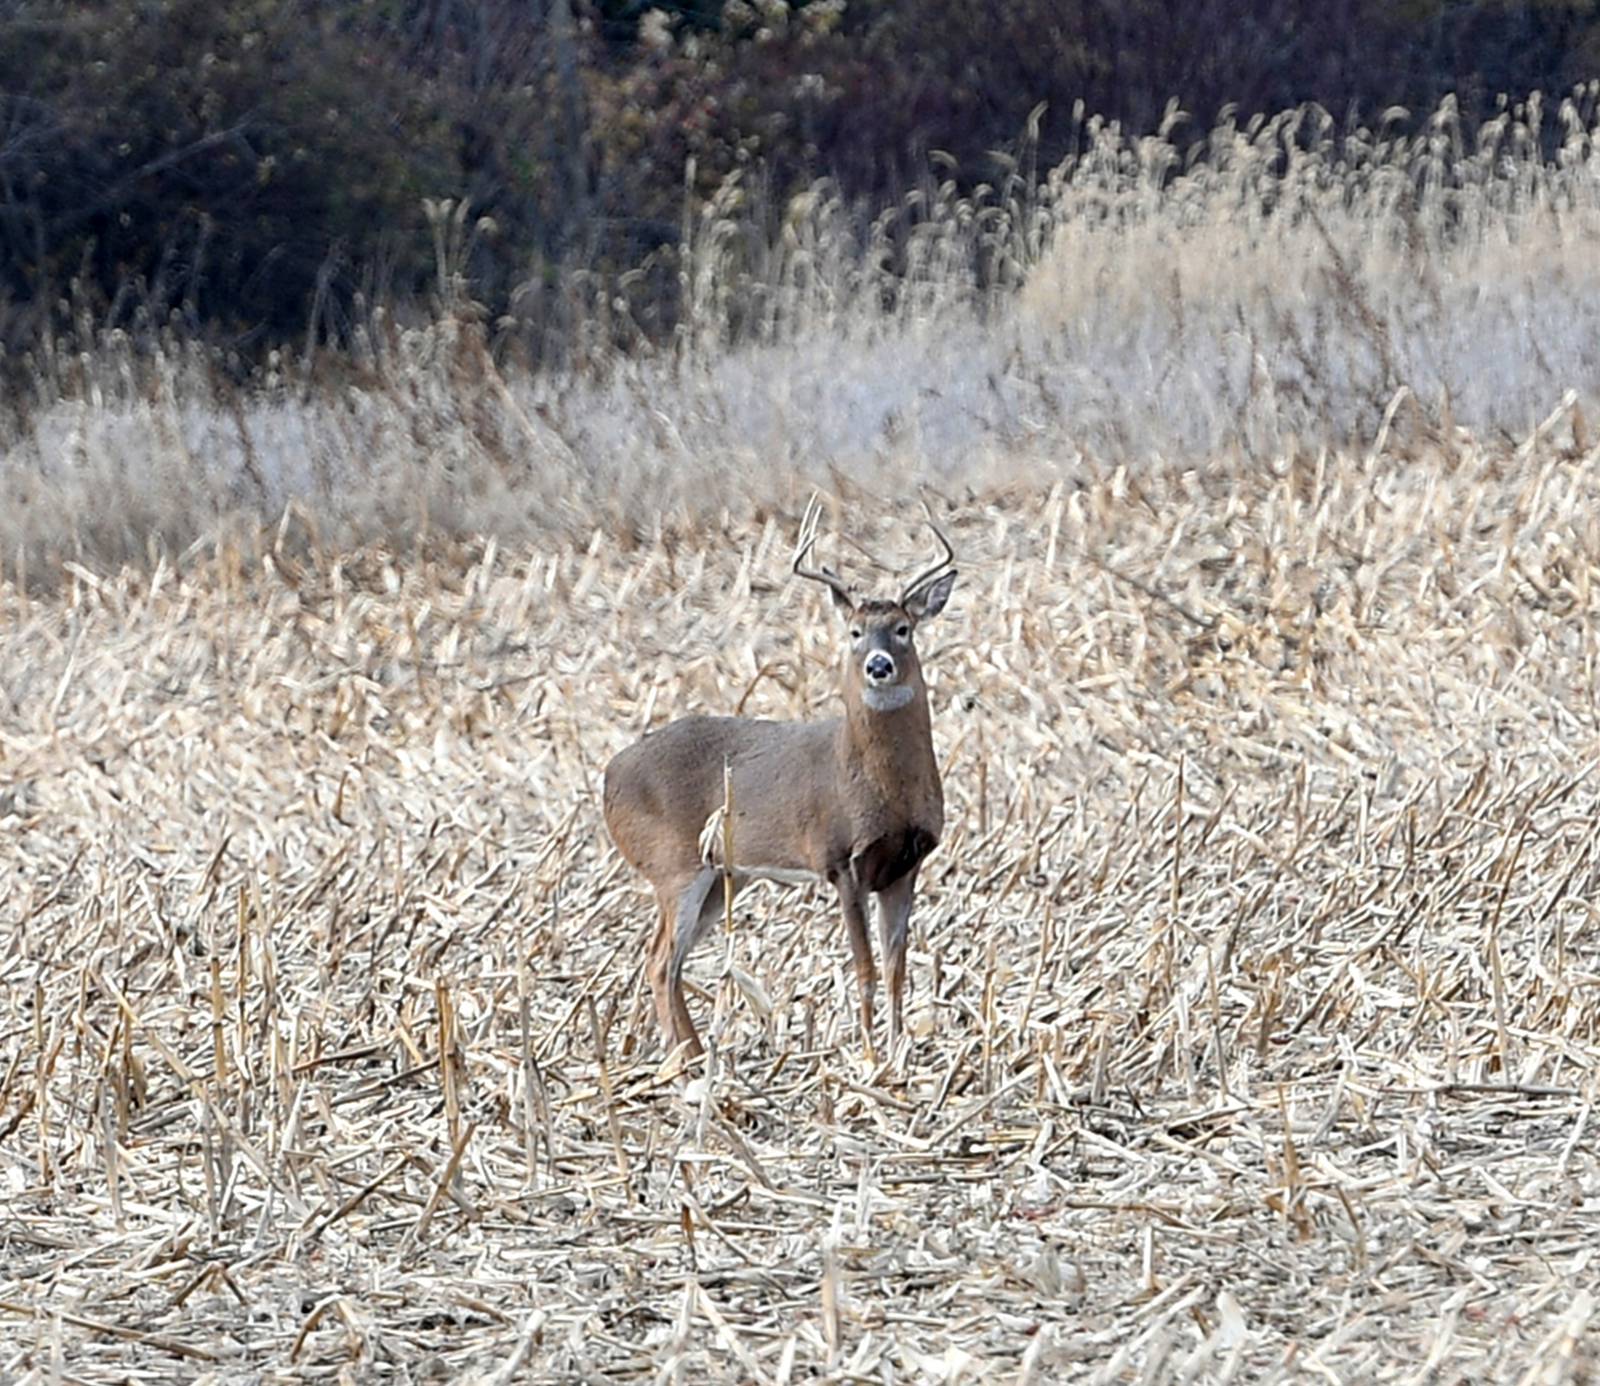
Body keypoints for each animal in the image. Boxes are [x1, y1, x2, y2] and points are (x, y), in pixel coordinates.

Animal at [601, 496, 959, 1064]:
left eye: (904, 629)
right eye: (855, 633)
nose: (879, 666)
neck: (881, 790)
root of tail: (608, 774)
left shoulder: (907, 863)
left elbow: (897, 970)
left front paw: (898, 1052)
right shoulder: (841, 860)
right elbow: (864, 969)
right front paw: (869, 1056)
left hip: (723, 875)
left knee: (668, 961)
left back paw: (696, 1055)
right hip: (672, 864)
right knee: (658, 959)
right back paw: (686, 1062)